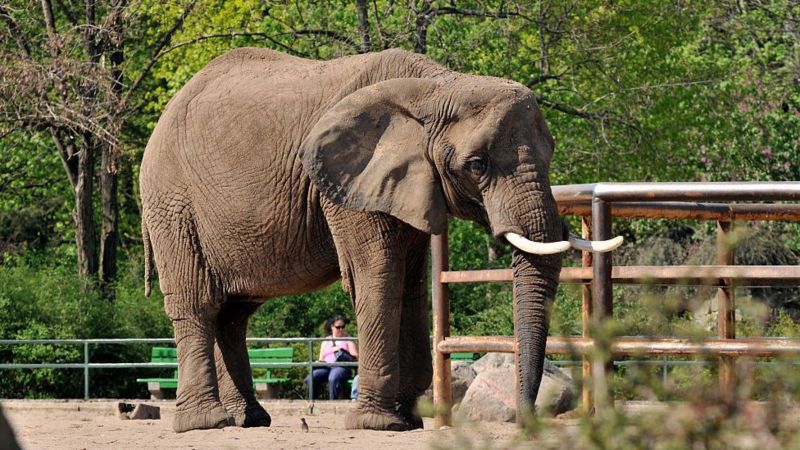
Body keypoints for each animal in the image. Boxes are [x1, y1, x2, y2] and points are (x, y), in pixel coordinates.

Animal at [139, 47, 619, 433]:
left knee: (234, 314)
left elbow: (412, 284)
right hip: (172, 204)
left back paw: (249, 420)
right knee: (198, 303)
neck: (437, 87)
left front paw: (409, 421)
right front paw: (379, 424)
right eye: (477, 164)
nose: (526, 419)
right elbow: (379, 277)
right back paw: (205, 423)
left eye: (551, 152)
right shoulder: (347, 184)